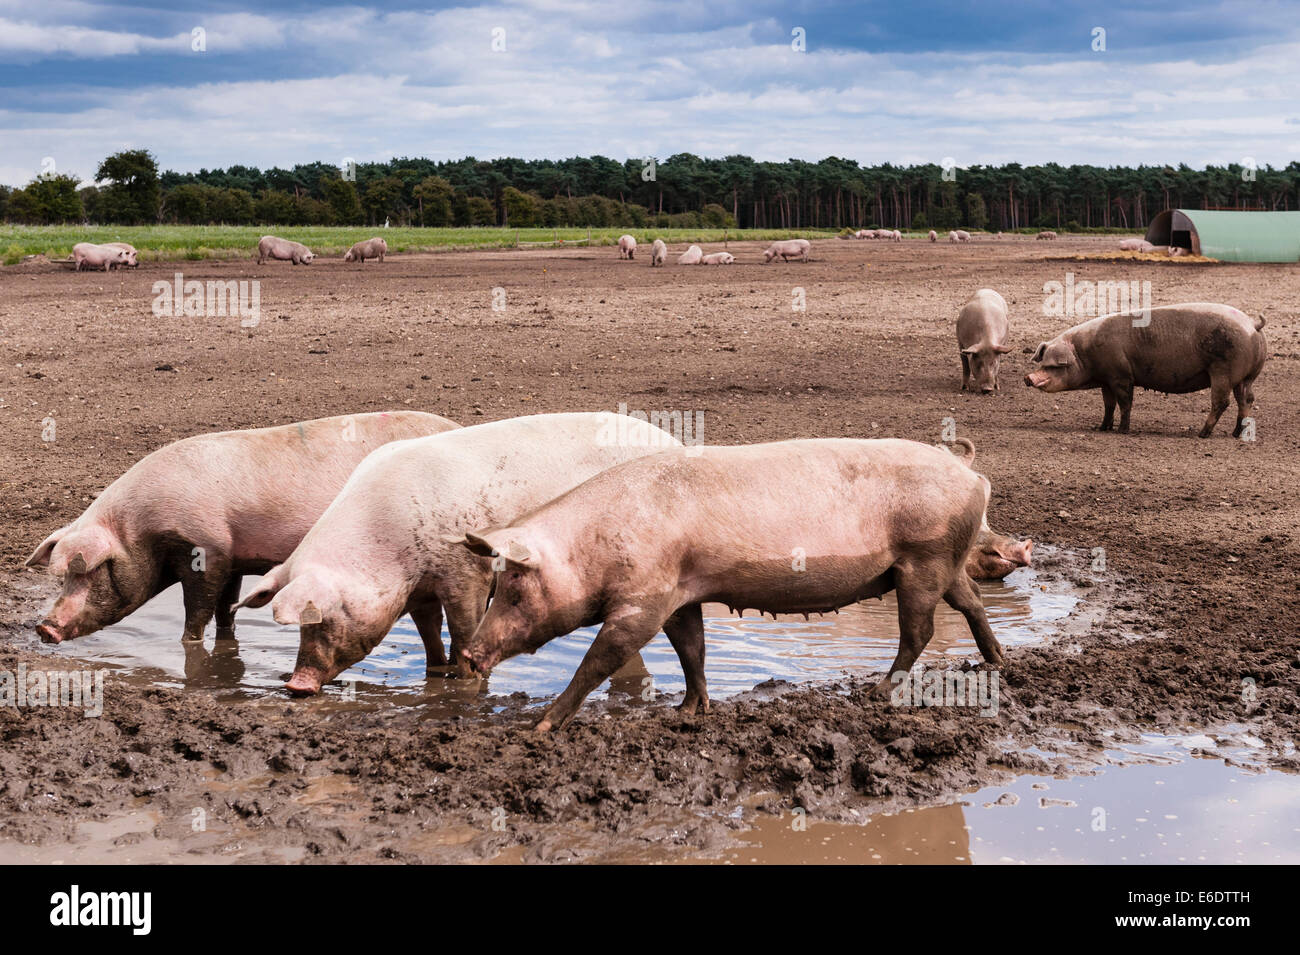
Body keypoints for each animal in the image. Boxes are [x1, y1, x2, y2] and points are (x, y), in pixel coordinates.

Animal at [26, 411, 459, 647]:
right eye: (62, 577)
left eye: (89, 571)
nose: (44, 628)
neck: (141, 528)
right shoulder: (232, 557)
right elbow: (225, 611)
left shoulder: (207, 548)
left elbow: (198, 612)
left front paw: (188, 645)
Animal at [234, 413, 683, 694]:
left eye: (323, 617)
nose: (296, 685)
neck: (388, 551)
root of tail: (675, 442)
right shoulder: (420, 590)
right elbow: (428, 631)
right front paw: (435, 672)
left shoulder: (467, 574)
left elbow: (466, 627)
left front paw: (466, 680)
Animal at [454, 437, 1004, 731]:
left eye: (515, 588)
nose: (469, 655)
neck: (591, 545)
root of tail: (969, 472)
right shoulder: (680, 595)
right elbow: (691, 648)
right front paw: (689, 710)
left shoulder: (643, 600)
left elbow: (599, 660)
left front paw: (541, 727)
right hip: (945, 561)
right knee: (972, 601)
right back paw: (997, 662)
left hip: (924, 558)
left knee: (921, 630)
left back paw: (877, 692)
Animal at [1024, 303, 1267, 437]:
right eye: (1042, 362)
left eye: (1053, 366)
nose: (1028, 377)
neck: (1085, 353)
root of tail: (1252, 325)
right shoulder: (1106, 380)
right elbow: (1108, 405)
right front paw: (1102, 428)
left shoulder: (1121, 376)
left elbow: (1125, 403)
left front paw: (1122, 431)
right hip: (1246, 377)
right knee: (1247, 400)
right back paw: (1236, 433)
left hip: (1222, 371)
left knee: (1221, 402)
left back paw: (1202, 434)